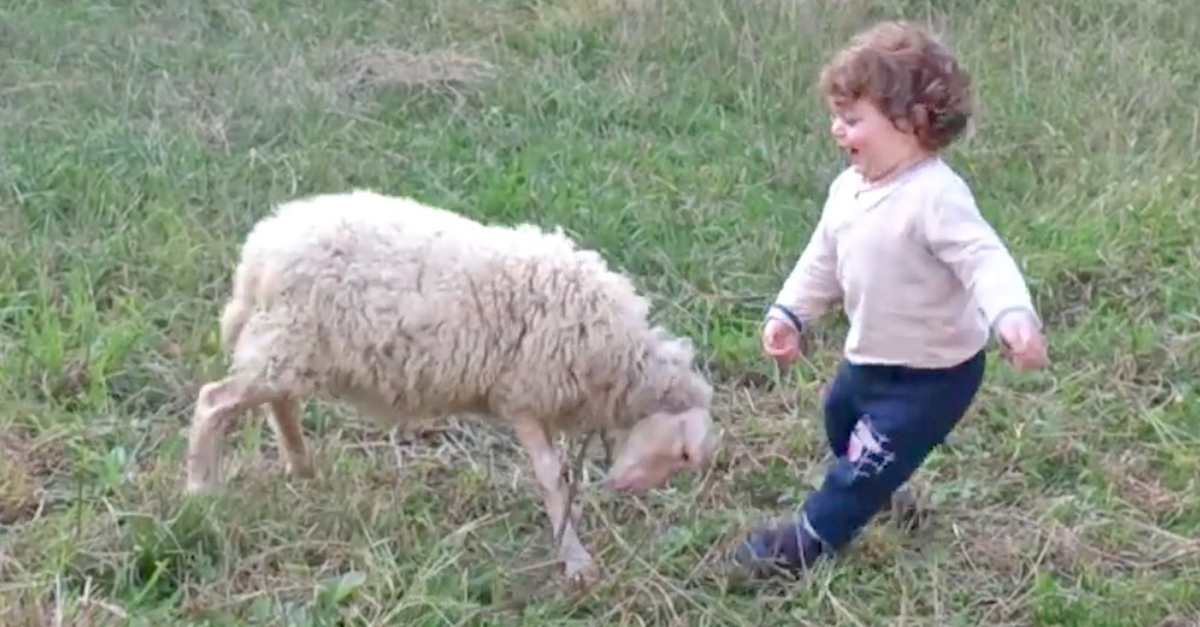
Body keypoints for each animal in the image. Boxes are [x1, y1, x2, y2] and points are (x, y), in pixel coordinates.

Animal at [184, 189, 720, 586]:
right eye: (684, 455)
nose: (622, 489)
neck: (617, 357)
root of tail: (259, 250)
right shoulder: (523, 394)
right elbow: (551, 477)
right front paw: (576, 560)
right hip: (287, 338)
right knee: (214, 401)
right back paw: (200, 491)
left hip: (291, 345)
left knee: (277, 399)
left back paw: (301, 466)